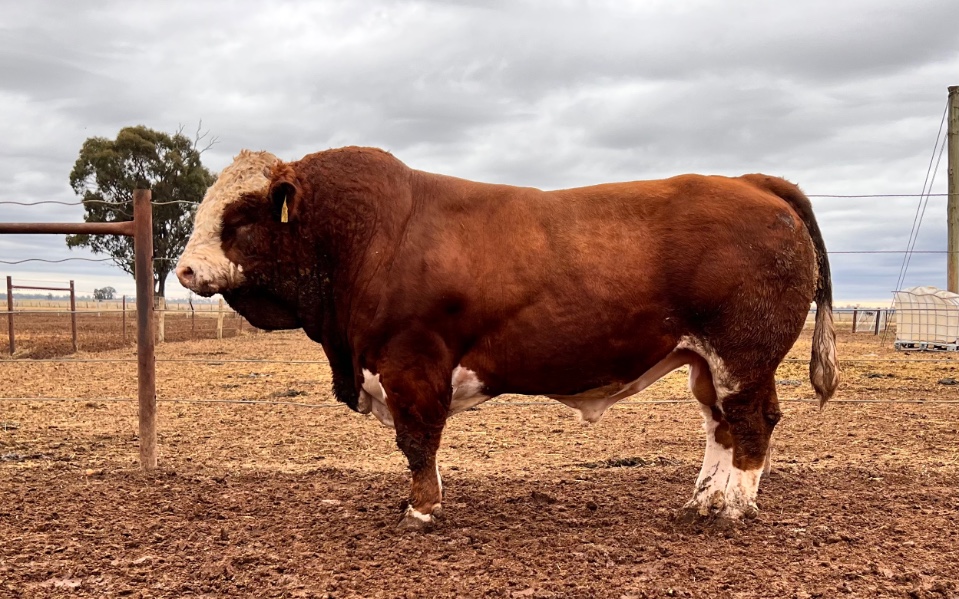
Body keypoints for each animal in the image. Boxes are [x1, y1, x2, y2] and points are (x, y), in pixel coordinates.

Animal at [176, 147, 839, 530]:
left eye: (241, 218)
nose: (183, 270)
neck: (362, 238)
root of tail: (752, 182)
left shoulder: (412, 362)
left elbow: (418, 440)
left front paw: (421, 510)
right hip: (705, 360)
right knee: (720, 423)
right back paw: (704, 500)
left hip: (743, 354)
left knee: (753, 421)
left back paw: (733, 508)